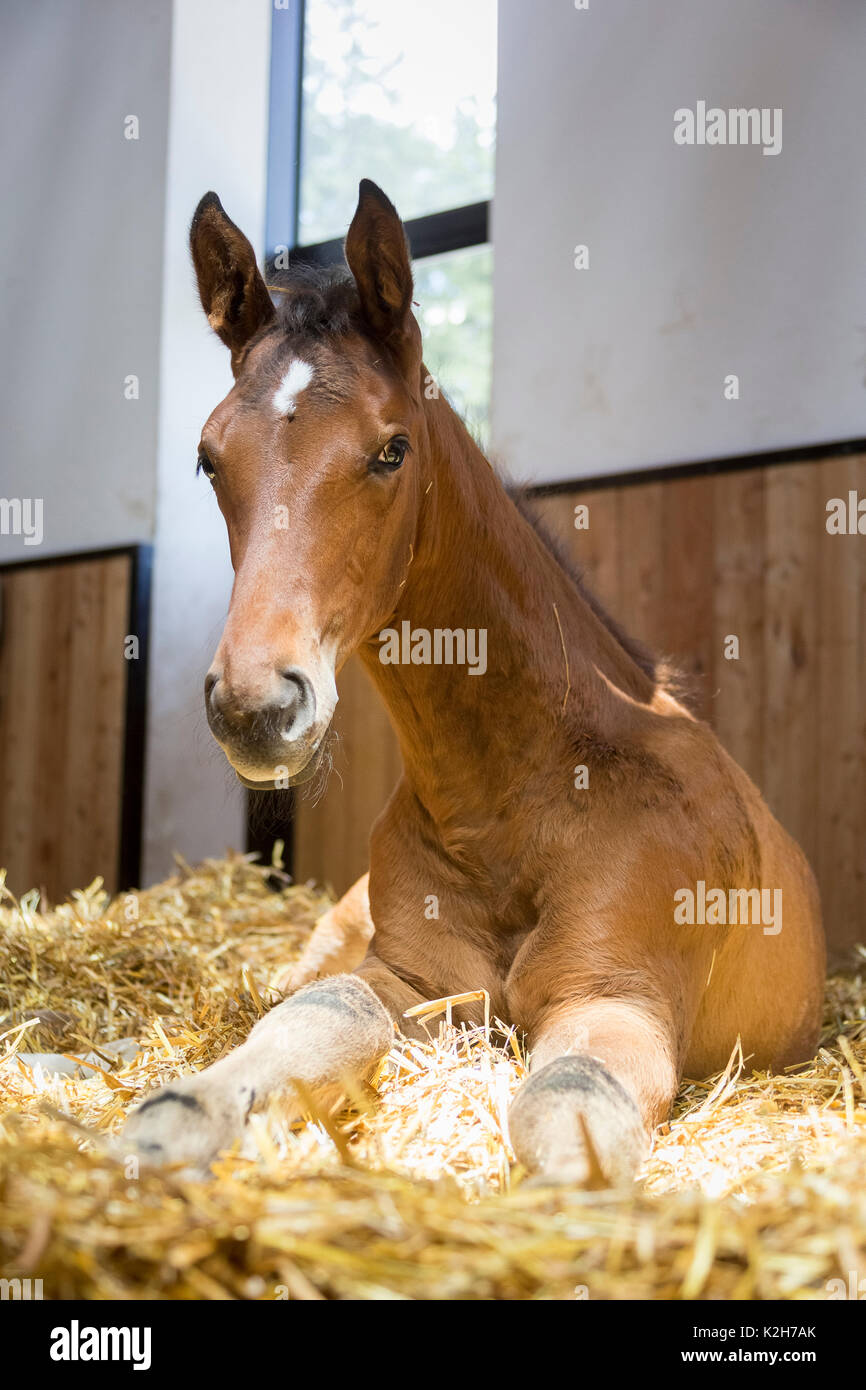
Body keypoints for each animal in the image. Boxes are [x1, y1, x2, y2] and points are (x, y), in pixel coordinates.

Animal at [123, 180, 825, 1184]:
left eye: (392, 450)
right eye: (208, 458)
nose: (258, 706)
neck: (513, 798)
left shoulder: (621, 999)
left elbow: (568, 1111)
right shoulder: (407, 981)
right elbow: (306, 1024)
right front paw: (174, 1124)